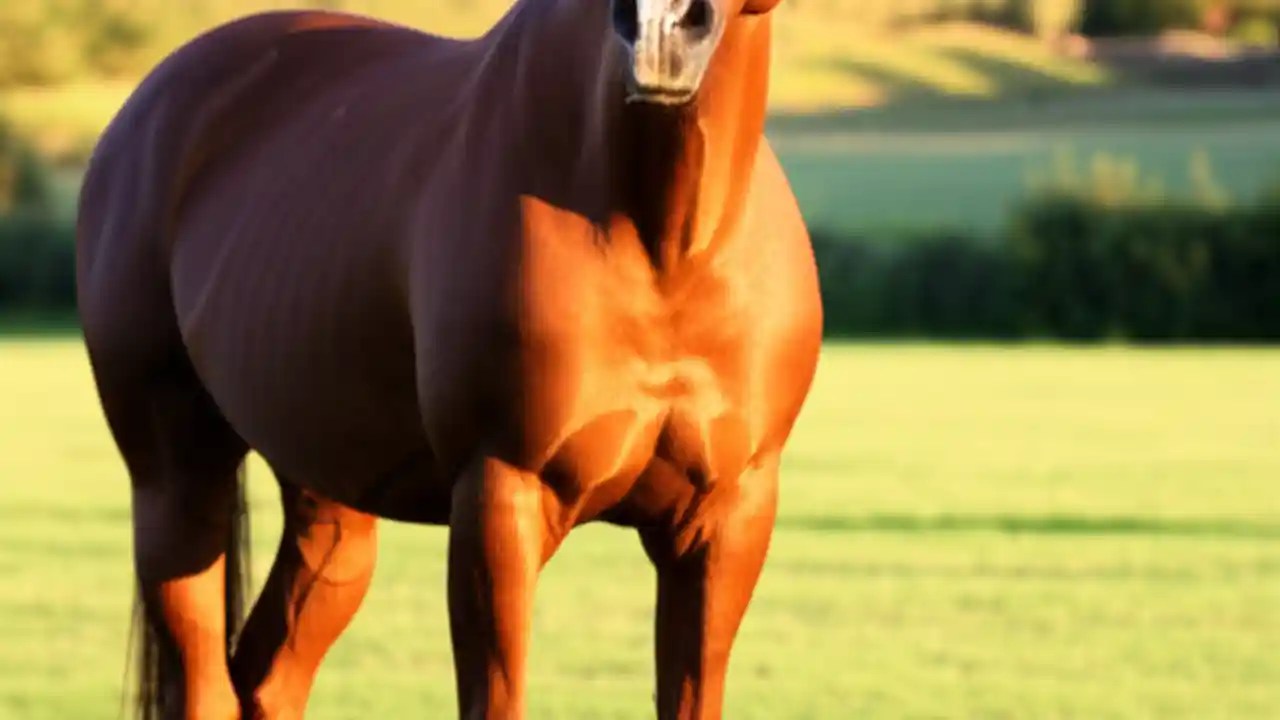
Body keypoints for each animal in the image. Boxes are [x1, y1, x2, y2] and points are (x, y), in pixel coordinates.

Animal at [76, 0, 821, 717]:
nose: (662, 32)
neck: (659, 245)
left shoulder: (726, 519)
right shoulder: (502, 496)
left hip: (330, 512)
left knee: (266, 680)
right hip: (177, 489)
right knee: (205, 683)